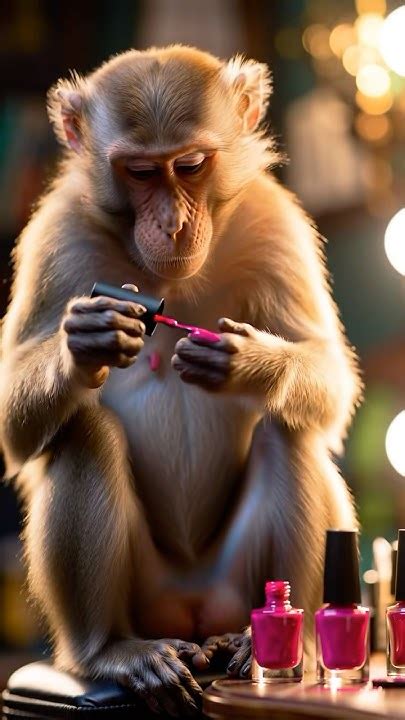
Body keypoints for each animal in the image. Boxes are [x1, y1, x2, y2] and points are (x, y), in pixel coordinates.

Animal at [0, 46, 360, 715]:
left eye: (190, 166)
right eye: (141, 173)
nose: (171, 225)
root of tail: (193, 610)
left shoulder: (275, 221)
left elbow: (329, 373)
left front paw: (251, 364)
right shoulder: (55, 234)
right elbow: (11, 425)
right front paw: (84, 342)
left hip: (234, 582)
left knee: (289, 431)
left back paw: (268, 643)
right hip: (149, 597)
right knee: (82, 431)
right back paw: (109, 651)